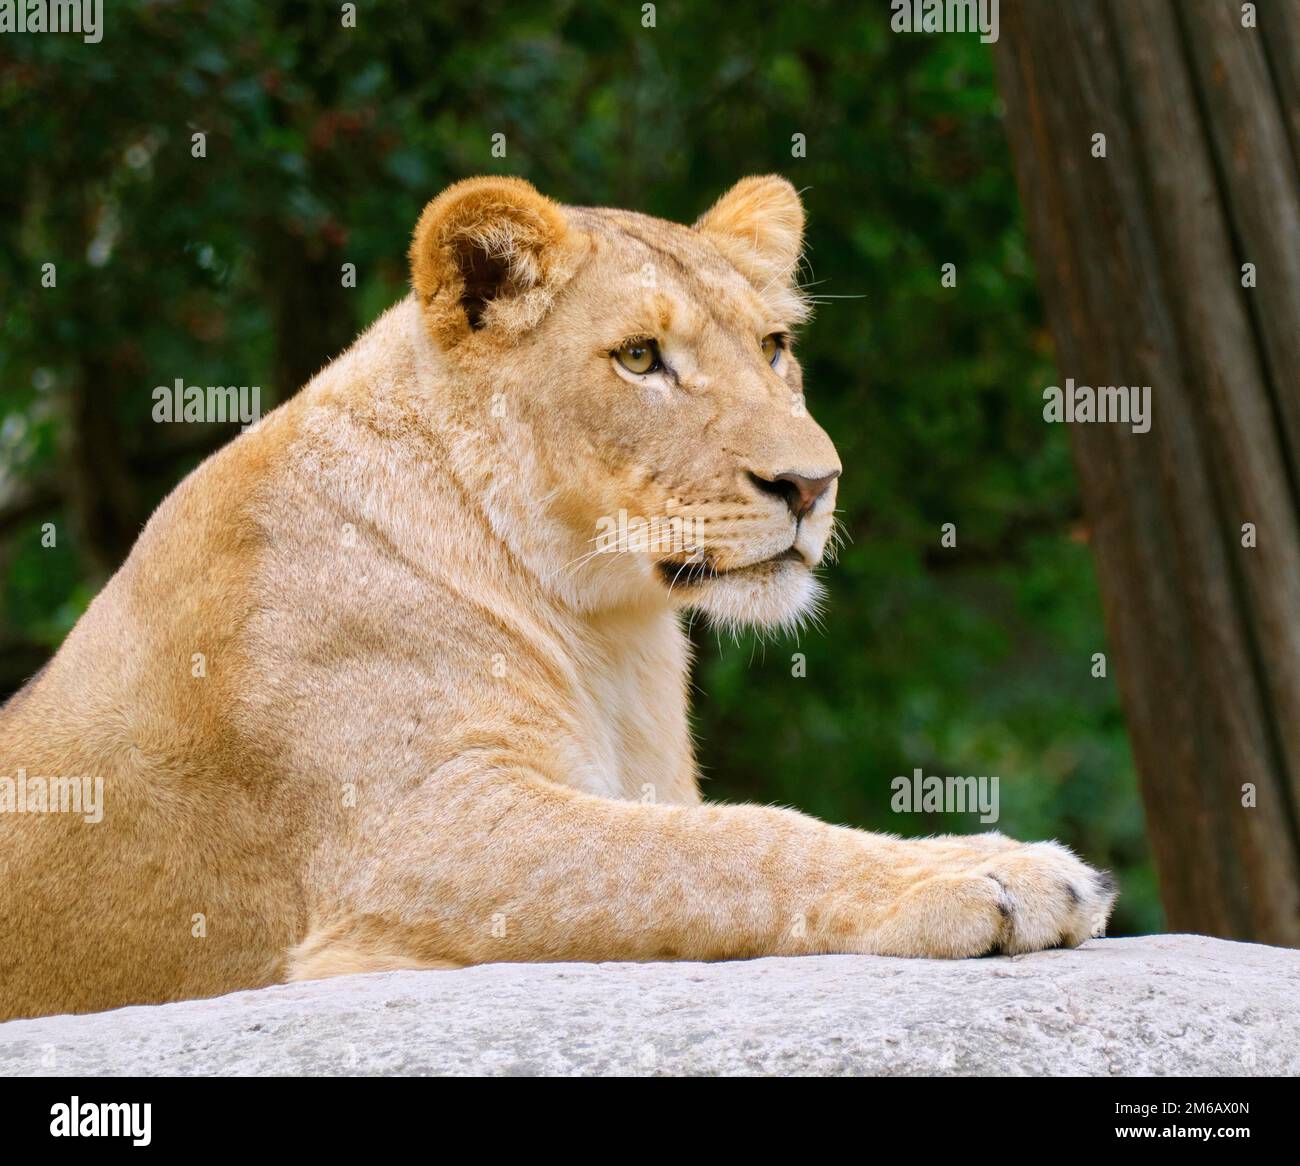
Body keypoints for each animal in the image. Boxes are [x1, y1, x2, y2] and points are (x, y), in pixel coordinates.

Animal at [0, 176, 1116, 1021]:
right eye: (640, 357)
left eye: (773, 348)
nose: (811, 485)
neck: (604, 628)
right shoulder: (410, 846)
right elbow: (728, 845)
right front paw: (991, 874)